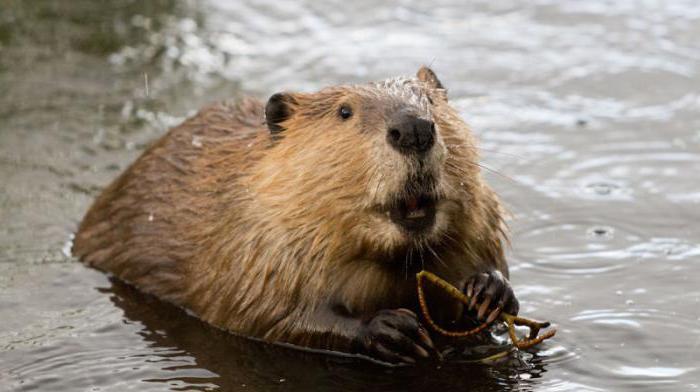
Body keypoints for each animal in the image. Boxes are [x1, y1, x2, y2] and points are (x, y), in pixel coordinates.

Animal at [74, 67, 520, 364]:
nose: (412, 129)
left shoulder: (481, 223)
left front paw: (488, 292)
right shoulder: (254, 245)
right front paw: (391, 330)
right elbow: (264, 314)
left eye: (429, 101)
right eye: (344, 112)